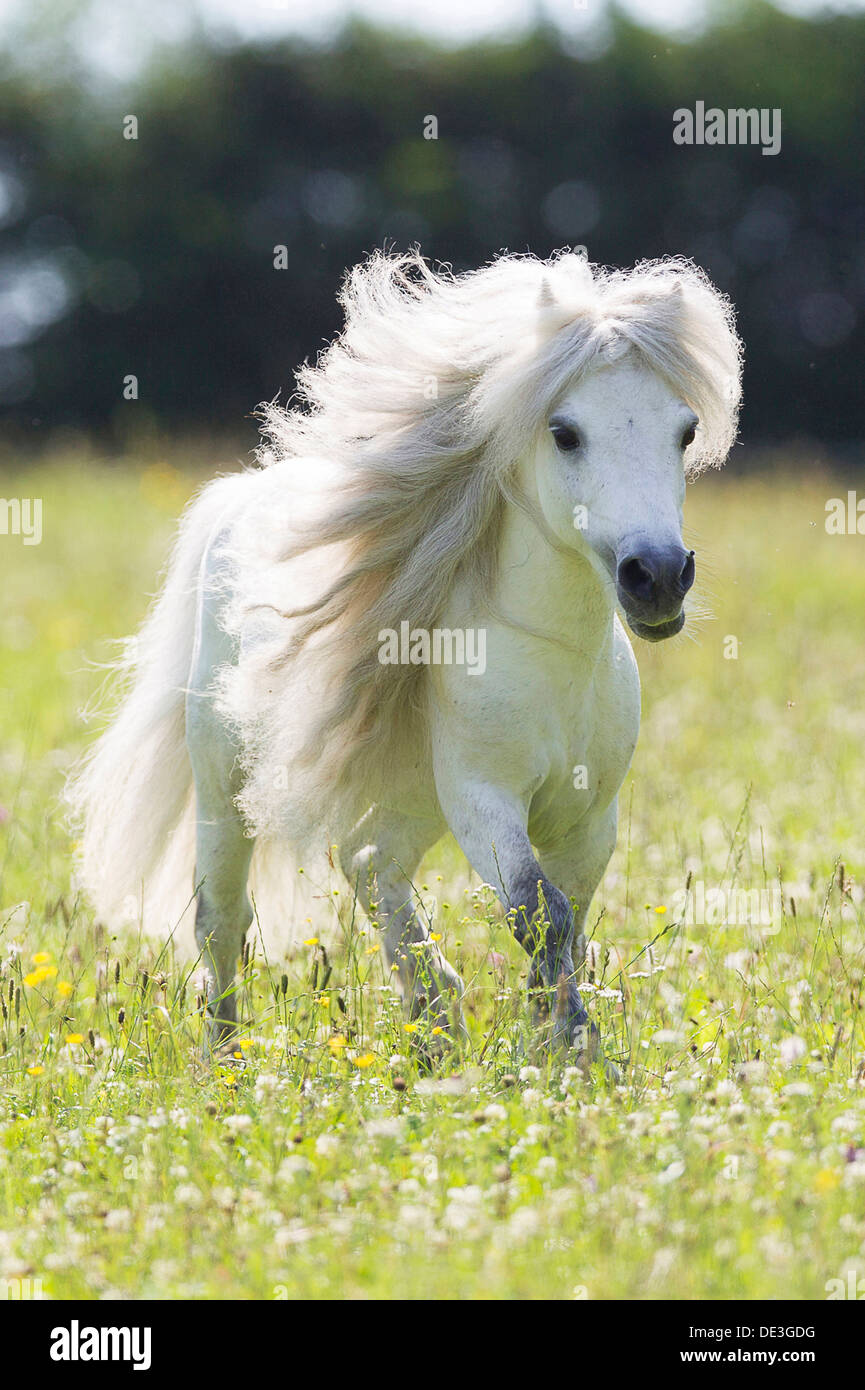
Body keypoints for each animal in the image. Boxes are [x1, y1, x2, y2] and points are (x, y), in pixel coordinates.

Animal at [70, 249, 742, 1064]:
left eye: (685, 430)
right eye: (564, 432)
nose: (658, 578)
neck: (556, 659)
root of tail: (236, 500)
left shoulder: (589, 817)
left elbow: (571, 923)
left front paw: (550, 1042)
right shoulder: (483, 798)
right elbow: (538, 912)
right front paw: (573, 1051)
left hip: (409, 798)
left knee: (368, 863)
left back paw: (434, 1021)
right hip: (227, 788)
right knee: (223, 920)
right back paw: (226, 1060)